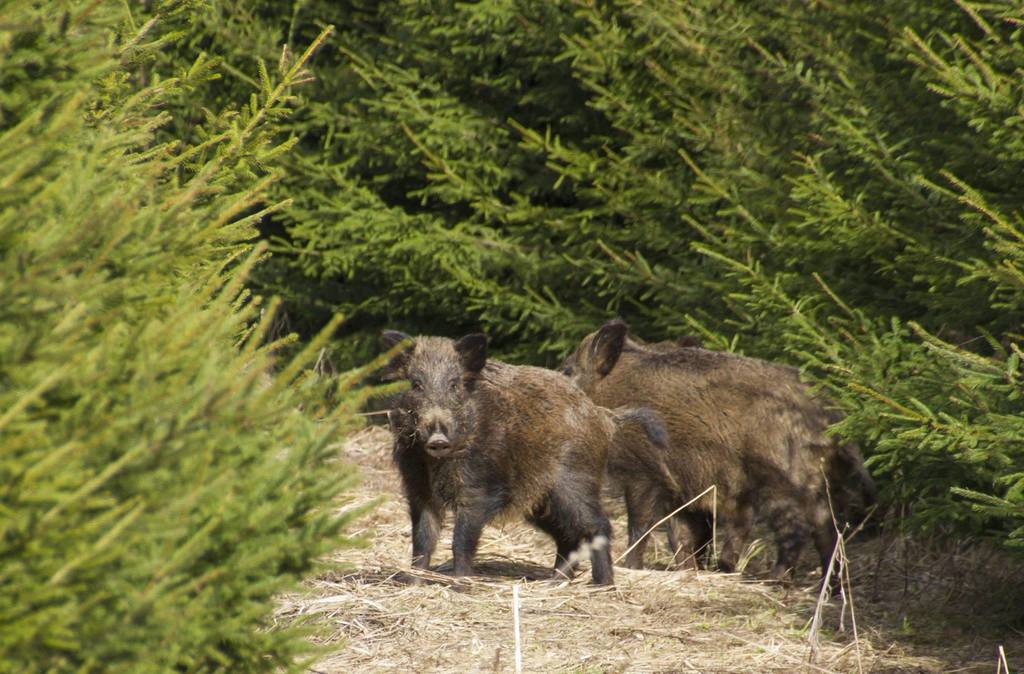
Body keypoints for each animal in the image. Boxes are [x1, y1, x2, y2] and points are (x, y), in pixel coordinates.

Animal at [381, 330, 667, 586]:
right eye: (416, 384)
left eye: (454, 384)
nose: (438, 438)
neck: (435, 463)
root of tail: (604, 417)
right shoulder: (418, 490)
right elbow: (422, 541)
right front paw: (412, 583)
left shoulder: (479, 489)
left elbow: (461, 541)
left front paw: (460, 583)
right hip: (541, 503)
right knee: (568, 537)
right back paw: (553, 582)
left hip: (573, 483)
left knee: (598, 527)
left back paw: (602, 585)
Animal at [560, 320, 875, 585]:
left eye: (566, 370)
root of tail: (834, 421)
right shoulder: (684, 489)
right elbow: (684, 536)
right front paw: (691, 571)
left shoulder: (644, 473)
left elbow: (642, 526)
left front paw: (630, 567)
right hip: (816, 485)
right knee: (828, 530)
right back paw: (830, 588)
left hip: (781, 481)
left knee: (796, 530)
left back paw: (772, 581)